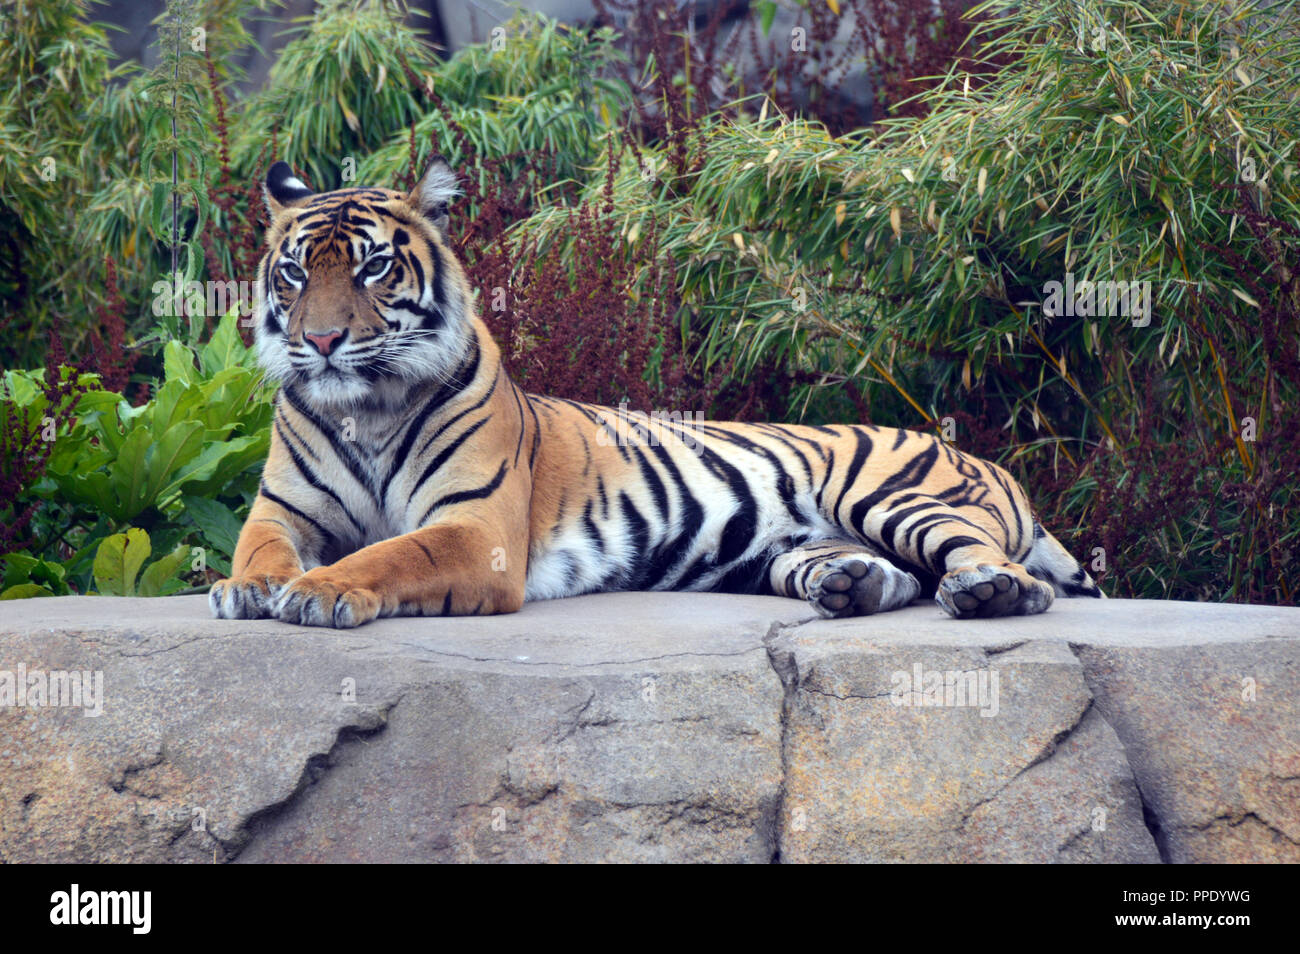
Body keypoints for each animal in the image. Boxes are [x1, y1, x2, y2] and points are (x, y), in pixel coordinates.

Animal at [208, 157, 1104, 628]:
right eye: (295, 273)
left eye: (372, 268)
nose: (323, 341)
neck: (364, 410)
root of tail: (980, 457)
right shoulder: (282, 510)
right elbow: (256, 548)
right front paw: (246, 588)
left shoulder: (474, 528)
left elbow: (391, 551)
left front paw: (318, 590)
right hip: (798, 549)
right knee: (887, 577)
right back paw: (853, 587)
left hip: (894, 494)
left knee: (986, 564)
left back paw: (986, 591)